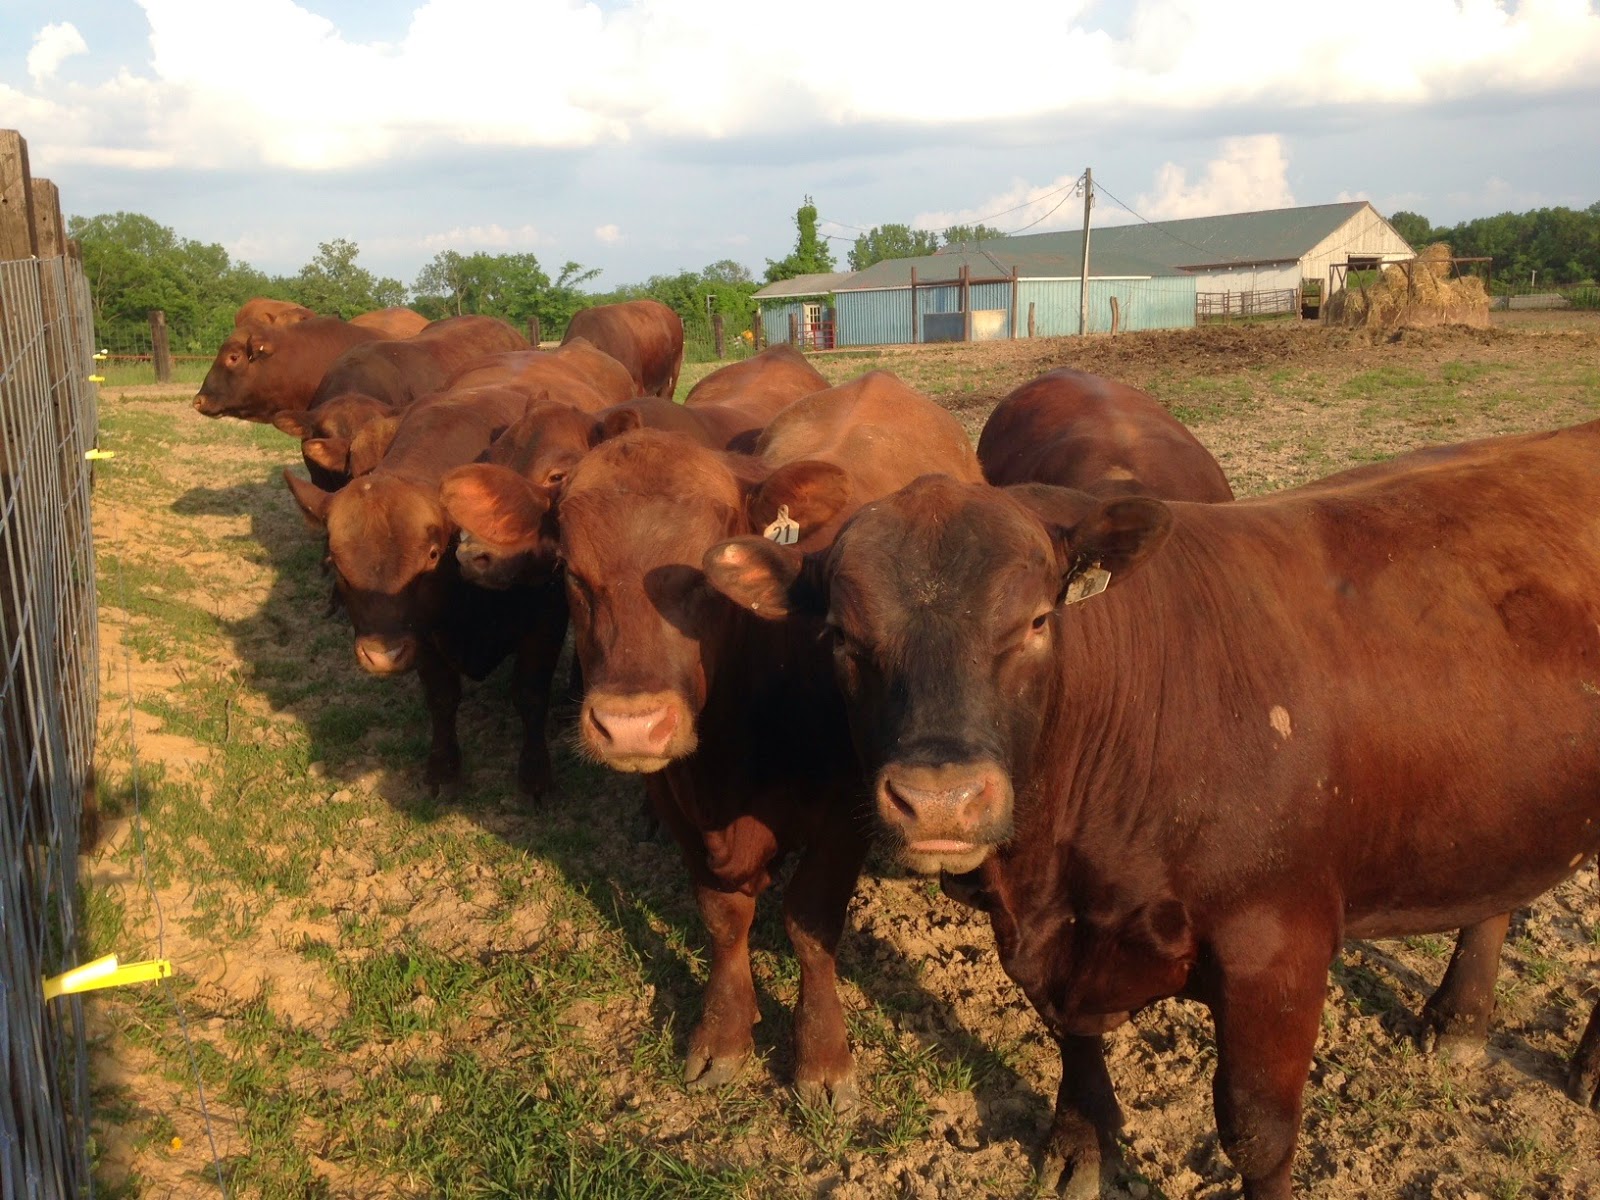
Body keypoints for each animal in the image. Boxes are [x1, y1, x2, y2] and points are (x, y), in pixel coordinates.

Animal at [283, 385, 566, 800]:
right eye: (336, 562)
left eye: (431, 555)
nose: (382, 656)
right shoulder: (423, 636)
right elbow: (442, 698)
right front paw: (443, 767)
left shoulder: (547, 620)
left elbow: (531, 697)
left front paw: (536, 776)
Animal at [553, 370, 983, 1110]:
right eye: (573, 576)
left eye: (704, 580)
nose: (633, 724)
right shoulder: (676, 798)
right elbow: (724, 917)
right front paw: (724, 1034)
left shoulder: (847, 809)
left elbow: (810, 921)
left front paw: (822, 1057)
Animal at [701, 421, 1600, 1198]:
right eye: (842, 639)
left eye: (1036, 620)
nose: (939, 800)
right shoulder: (1060, 939)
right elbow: (1075, 1037)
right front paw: (1079, 1143)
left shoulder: (1279, 947)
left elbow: (1257, 1133)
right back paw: (1460, 1019)